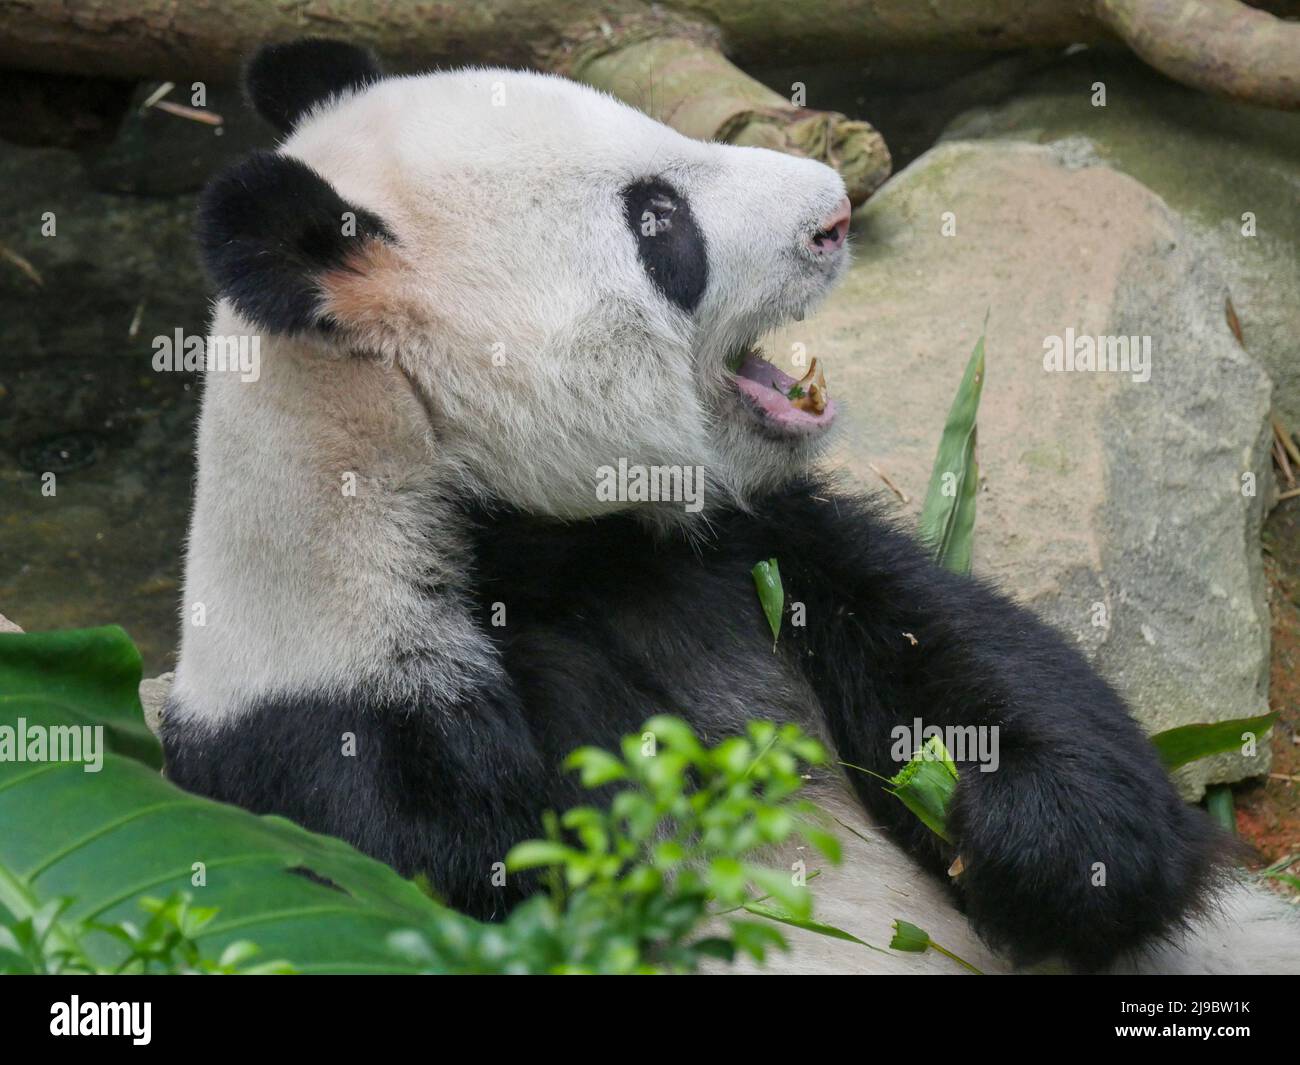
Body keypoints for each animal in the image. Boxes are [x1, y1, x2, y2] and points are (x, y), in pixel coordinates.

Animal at [162, 38, 1299, 974]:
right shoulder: (351, 765)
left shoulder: (740, 538)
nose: (835, 212)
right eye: (658, 218)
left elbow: (971, 656)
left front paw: (1027, 836)